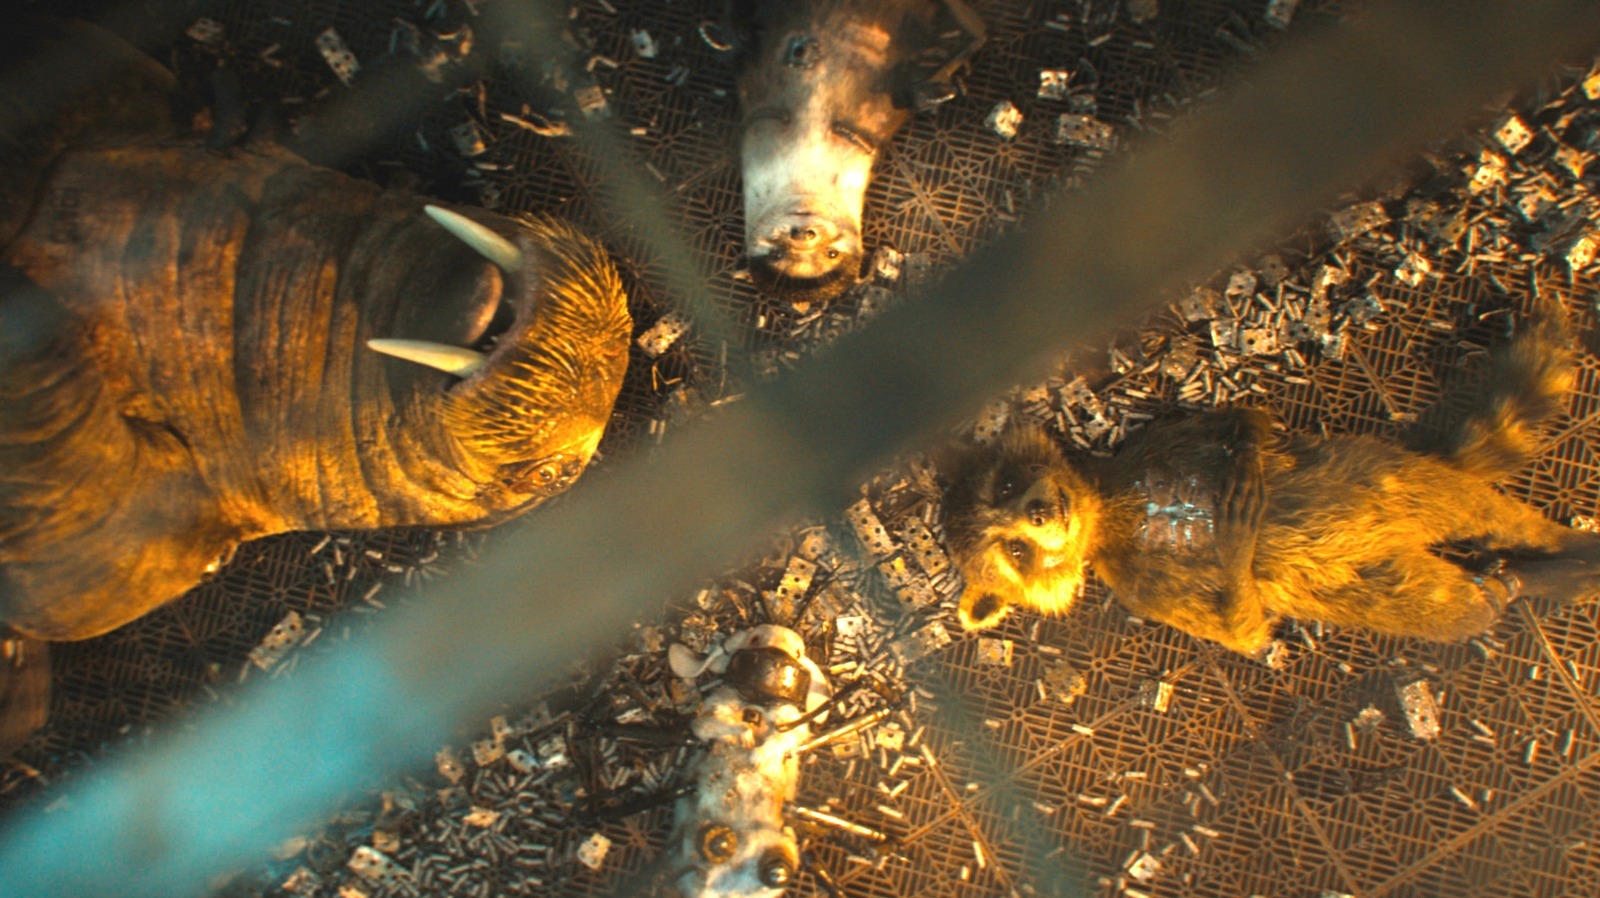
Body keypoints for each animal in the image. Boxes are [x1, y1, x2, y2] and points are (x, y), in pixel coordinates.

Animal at [942, 316, 1600, 659]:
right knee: (1457, 602)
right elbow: (1246, 631)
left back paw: (1551, 550)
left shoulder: (1154, 443)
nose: (1041, 512)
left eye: (1007, 484)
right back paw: (1518, 582)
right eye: (1017, 551)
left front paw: (1256, 442)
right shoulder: (1141, 588)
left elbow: (1244, 419)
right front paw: (1236, 550)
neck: (1105, 514)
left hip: (1393, 477)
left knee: (1490, 517)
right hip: (1393, 576)